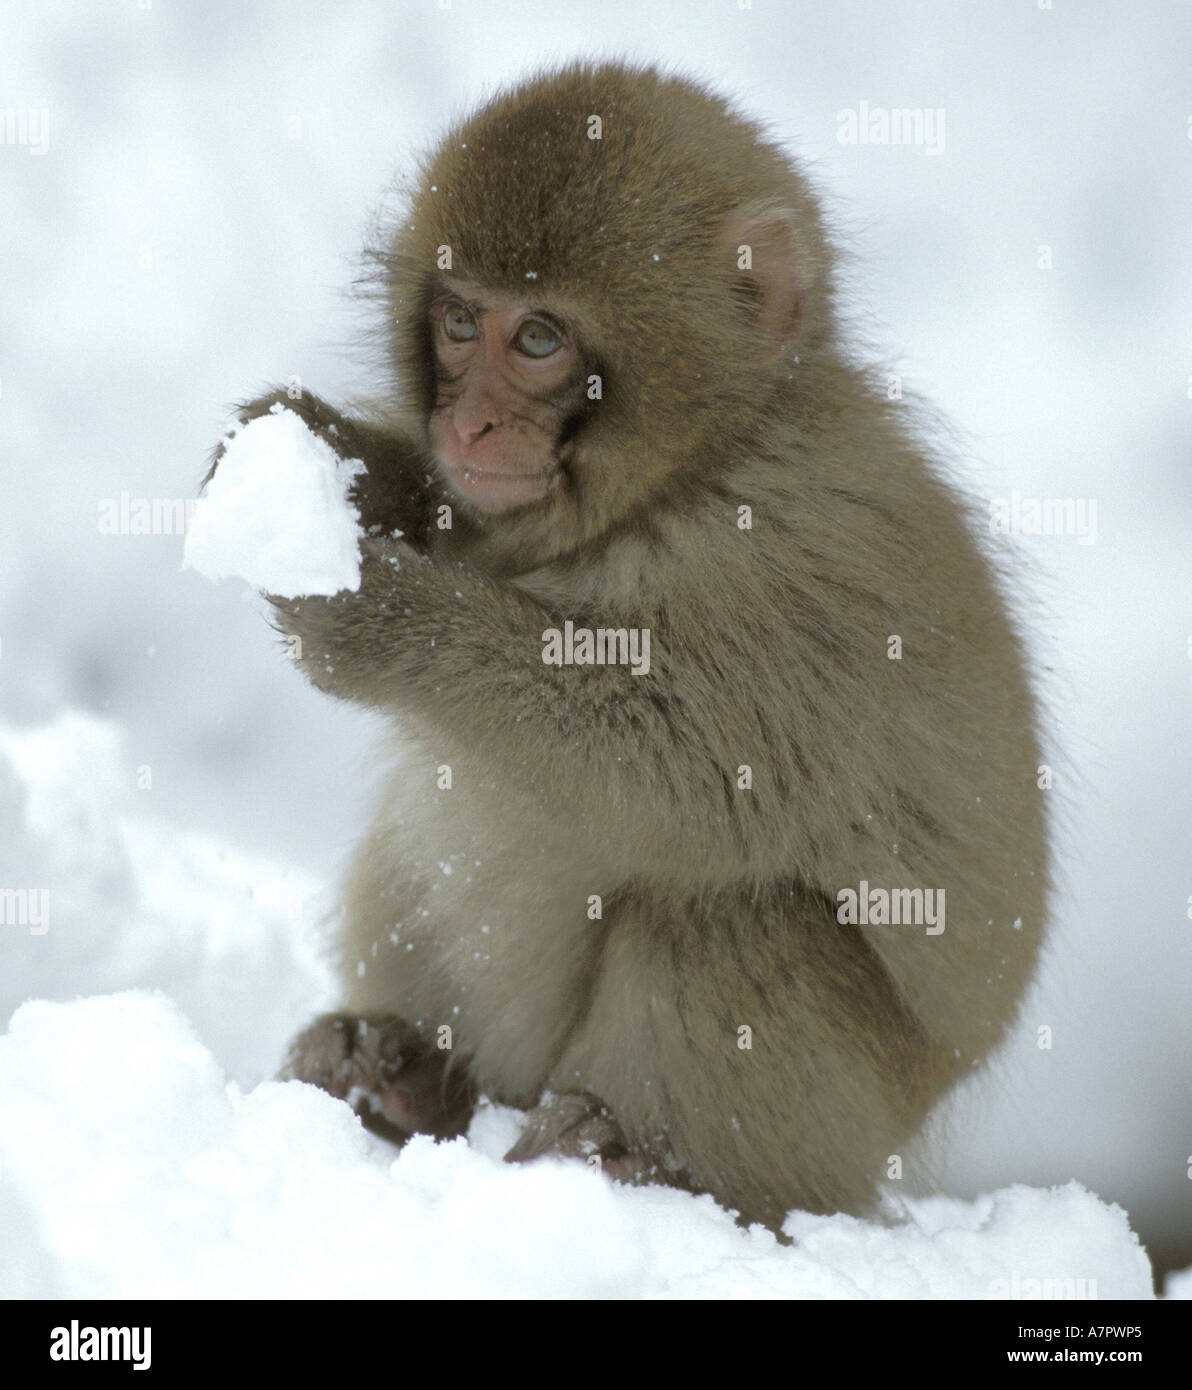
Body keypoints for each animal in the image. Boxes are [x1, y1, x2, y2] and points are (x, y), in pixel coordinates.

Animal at [208, 62, 1048, 1229]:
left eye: (539, 340)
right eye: (459, 322)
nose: (468, 425)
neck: (684, 475)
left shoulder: (797, 565)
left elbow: (693, 777)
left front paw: (380, 617)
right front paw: (318, 455)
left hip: (834, 1134)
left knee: (735, 912)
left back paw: (631, 1153)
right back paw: (400, 1072)